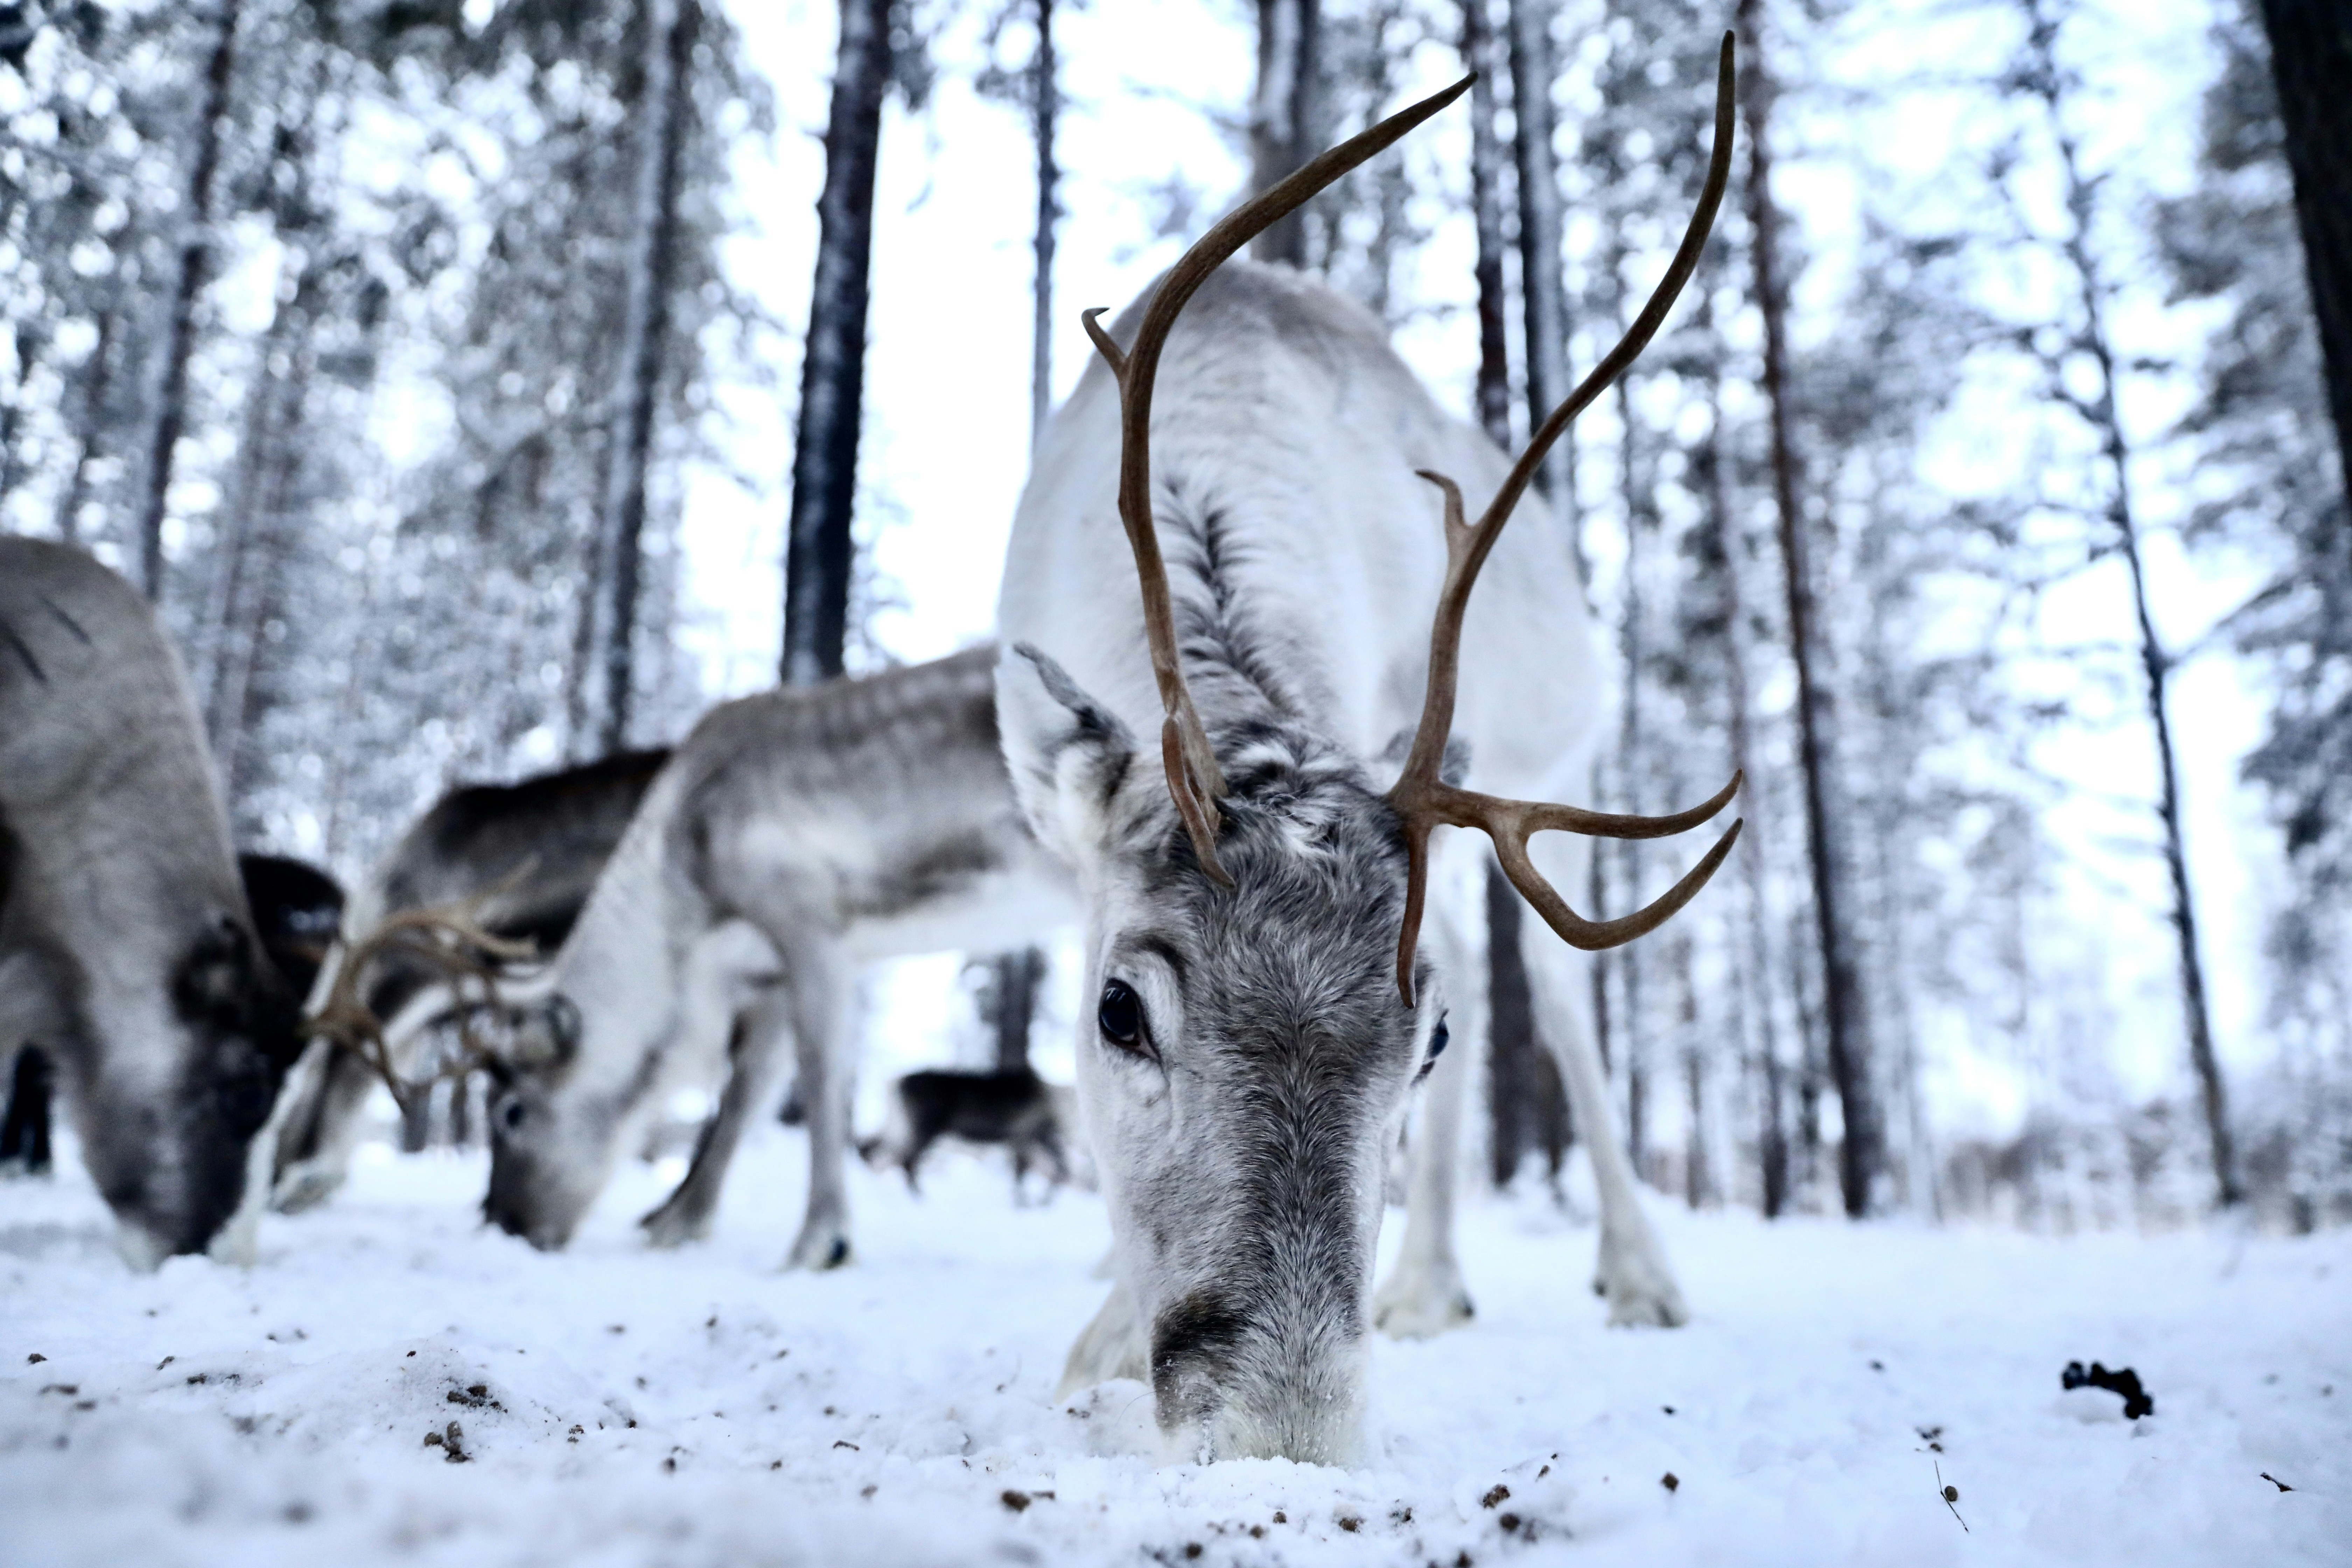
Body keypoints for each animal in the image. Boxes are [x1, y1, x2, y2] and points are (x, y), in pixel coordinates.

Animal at [991, 41, 1741, 1462]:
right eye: (1116, 1009)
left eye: (1421, 1037)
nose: (1282, 1446)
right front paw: (1099, 1327)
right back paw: (1428, 1284)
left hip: (1551, 773)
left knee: (1558, 1007)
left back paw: (1624, 1274)